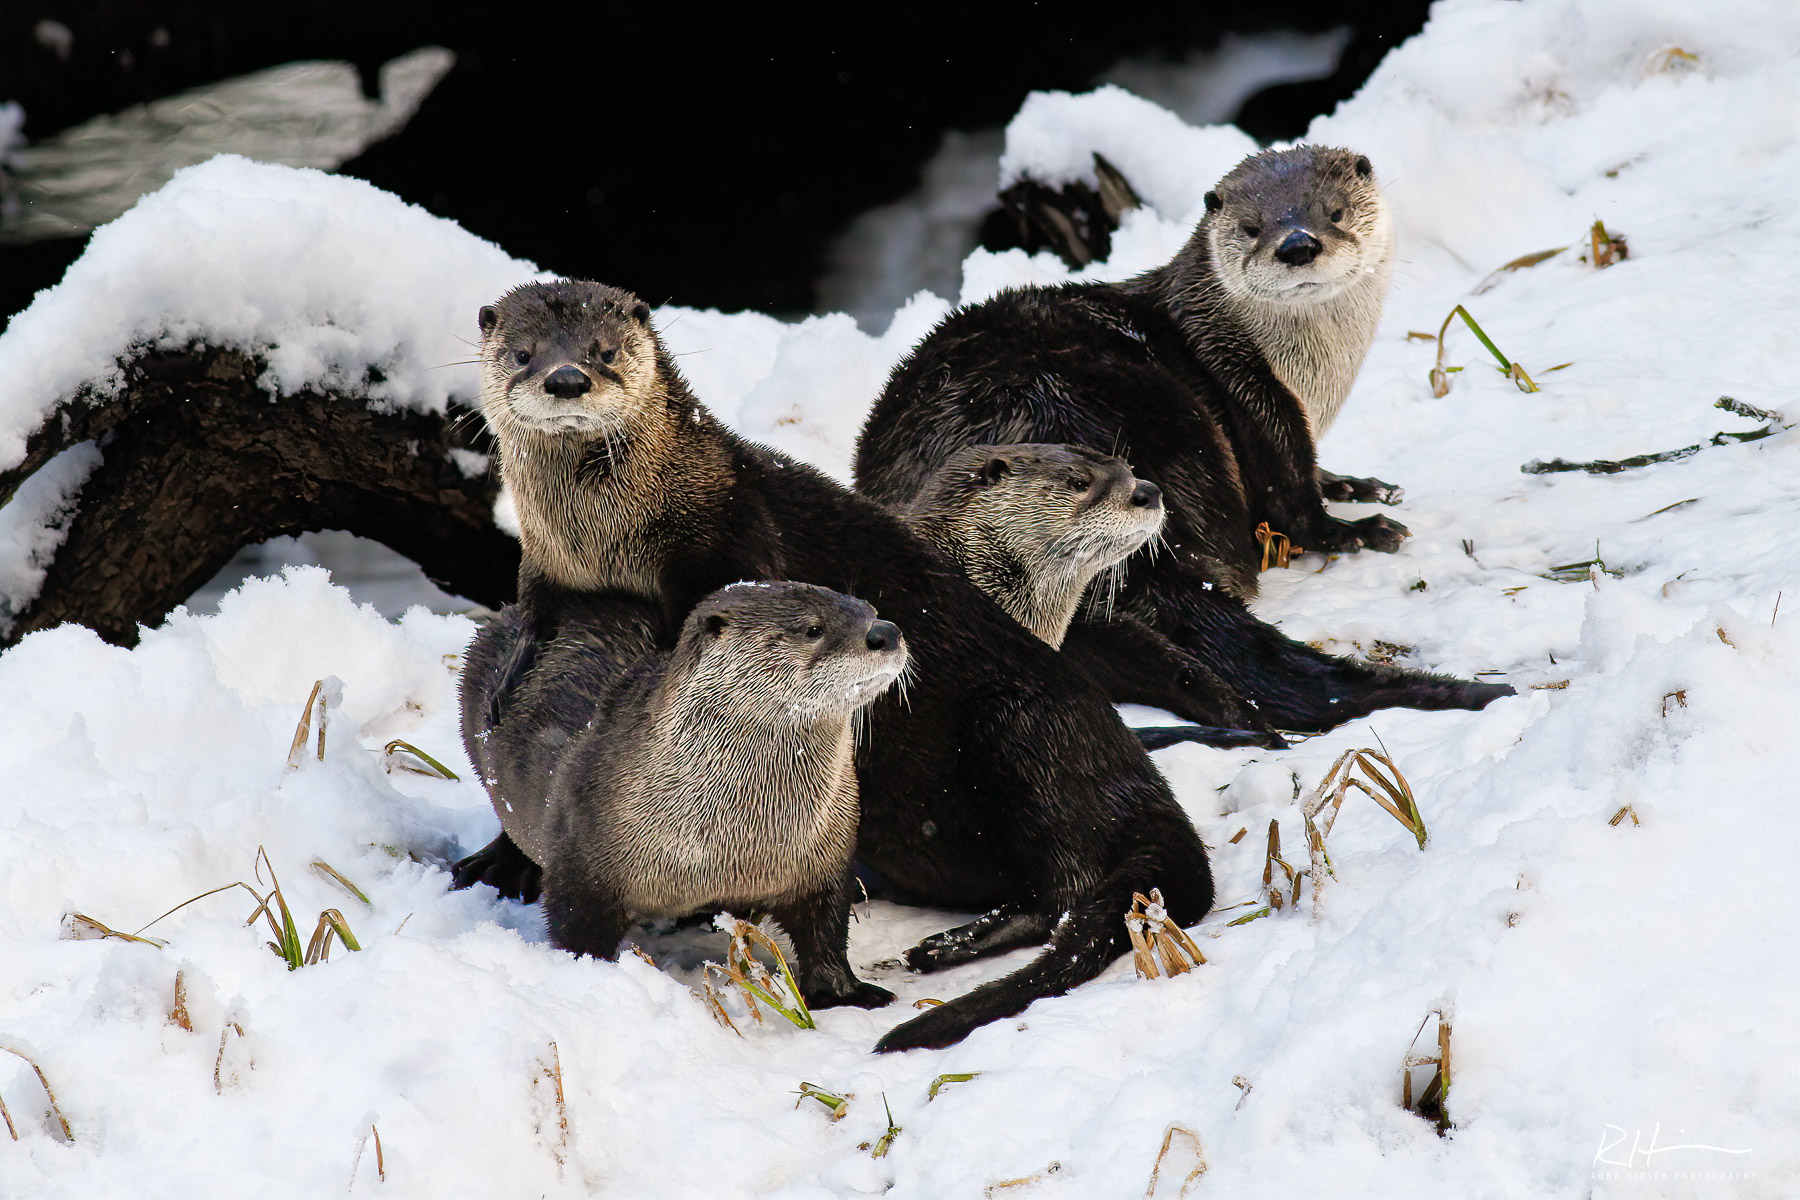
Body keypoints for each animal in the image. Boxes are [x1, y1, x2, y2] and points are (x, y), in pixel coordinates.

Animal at [459, 581, 903, 1009]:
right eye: (813, 628)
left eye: (870, 608)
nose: (886, 631)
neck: (735, 844)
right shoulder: (583, 862)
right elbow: (577, 929)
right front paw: (588, 976)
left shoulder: (825, 857)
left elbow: (825, 931)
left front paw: (844, 992)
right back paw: (494, 868)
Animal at [855, 146, 1513, 732]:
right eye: (1252, 228)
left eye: (1335, 210)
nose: (1297, 244)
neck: (1314, 378)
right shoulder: (1253, 395)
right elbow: (1291, 493)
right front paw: (1353, 527)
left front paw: (1356, 484)